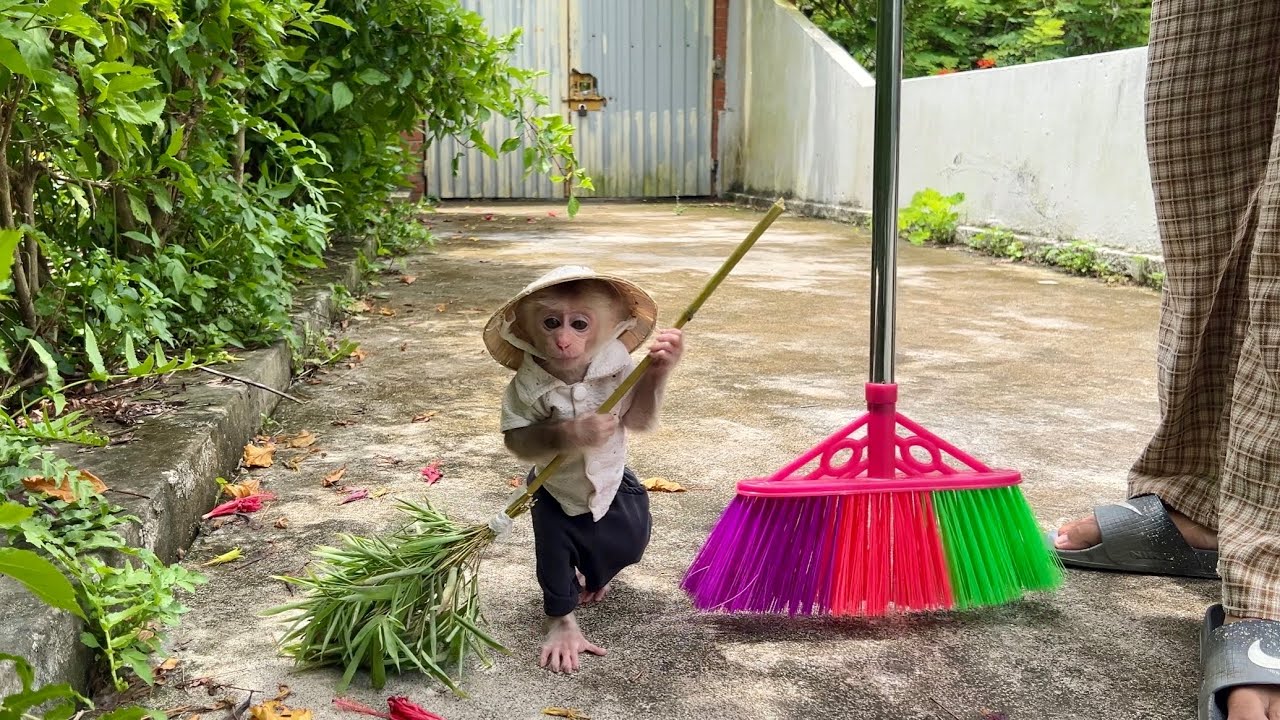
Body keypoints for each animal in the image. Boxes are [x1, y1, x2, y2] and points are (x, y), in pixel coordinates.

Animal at [486, 268, 683, 675]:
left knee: (624, 550)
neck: (572, 374)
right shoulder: (519, 390)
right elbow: (519, 437)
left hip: (626, 520)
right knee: (559, 561)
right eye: (550, 323)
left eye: (579, 324)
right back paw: (567, 624)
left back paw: (596, 585)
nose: (562, 341)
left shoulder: (625, 373)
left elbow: (636, 418)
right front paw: (581, 430)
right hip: (547, 508)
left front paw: (665, 355)